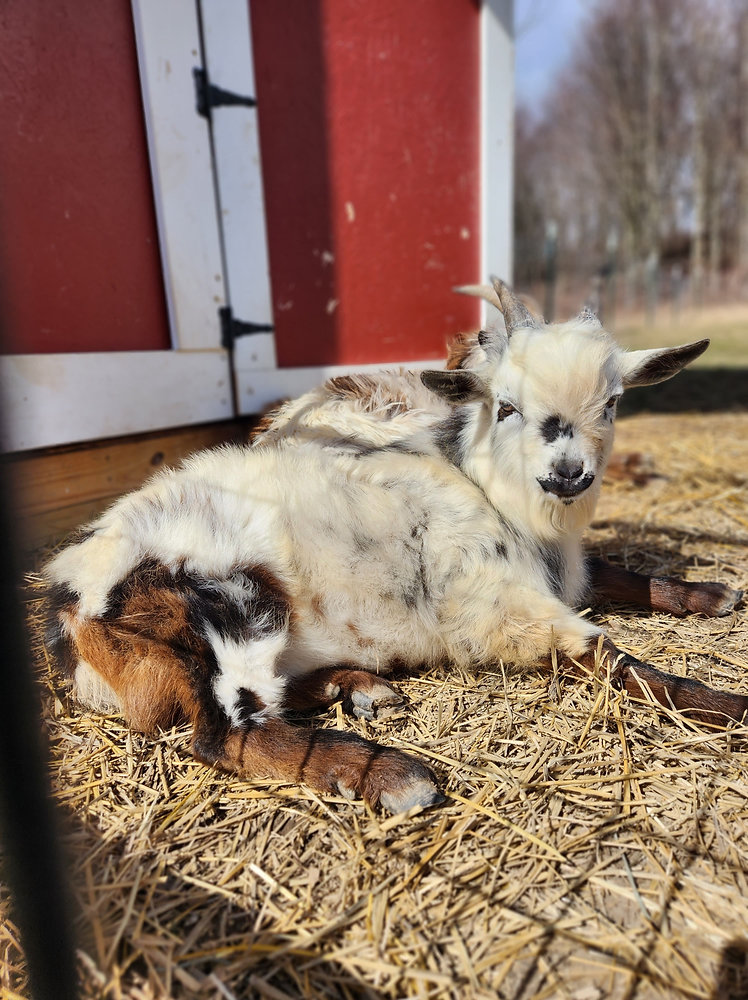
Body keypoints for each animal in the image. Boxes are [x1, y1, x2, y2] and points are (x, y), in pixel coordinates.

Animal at [44, 280, 745, 813]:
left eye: (614, 402)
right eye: (506, 406)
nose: (567, 473)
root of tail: (71, 606)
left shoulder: (564, 571)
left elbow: (617, 573)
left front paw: (711, 593)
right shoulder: (498, 610)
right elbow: (614, 658)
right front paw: (729, 704)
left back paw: (356, 688)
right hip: (232, 604)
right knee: (224, 734)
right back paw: (387, 772)